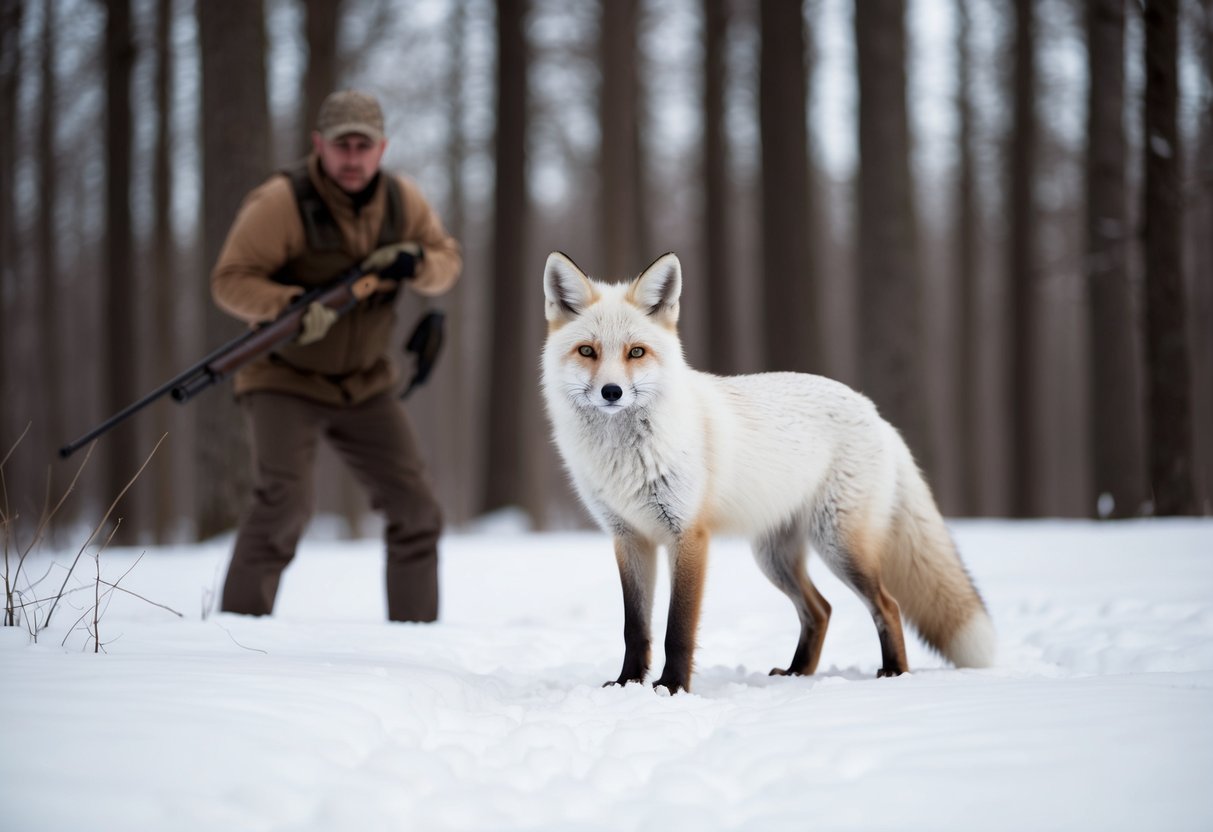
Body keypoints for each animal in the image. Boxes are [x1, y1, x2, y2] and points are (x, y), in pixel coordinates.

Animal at [540, 251, 996, 694]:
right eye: (587, 351)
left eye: (636, 352)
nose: (611, 392)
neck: (624, 457)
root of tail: (874, 411)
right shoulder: (629, 538)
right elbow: (634, 627)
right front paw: (627, 684)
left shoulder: (687, 534)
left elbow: (677, 629)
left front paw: (671, 688)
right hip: (774, 557)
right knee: (821, 610)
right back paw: (797, 673)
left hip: (840, 547)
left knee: (888, 605)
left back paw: (895, 674)